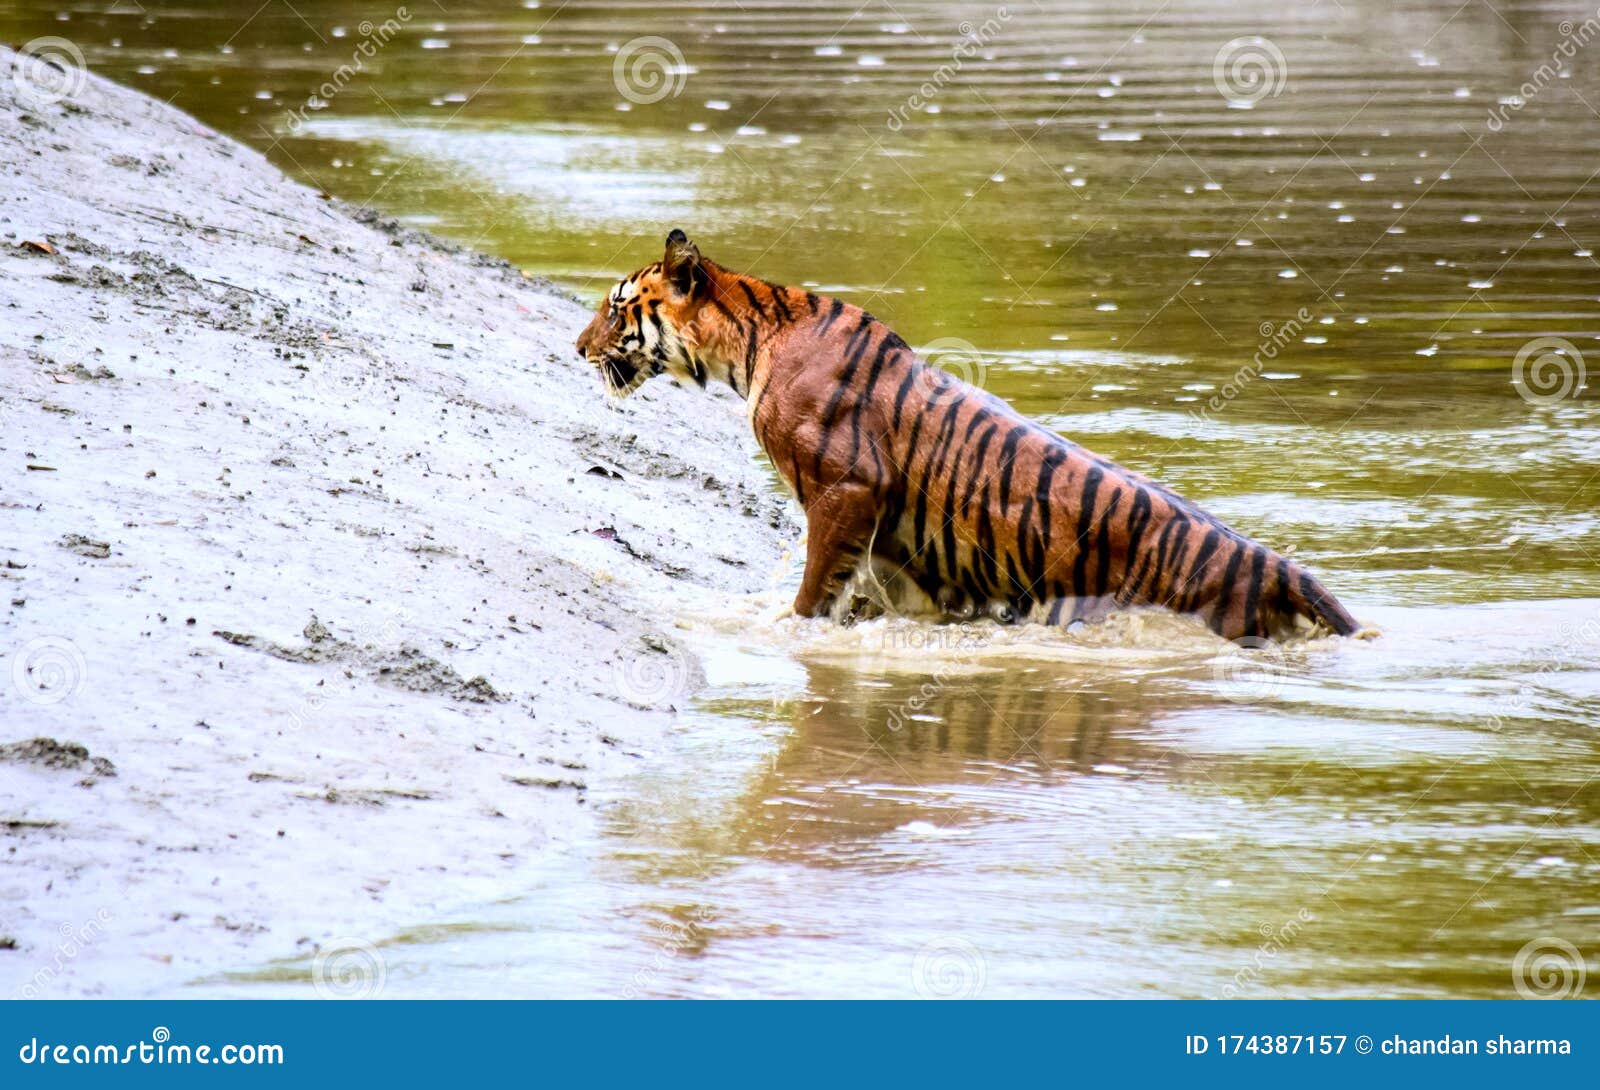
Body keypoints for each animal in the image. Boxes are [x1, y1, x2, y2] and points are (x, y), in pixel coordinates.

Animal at [575, 230, 1359, 641]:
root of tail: (1279, 565)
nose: (577, 347)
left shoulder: (847, 491)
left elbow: (814, 591)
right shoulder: (897, 543)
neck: (750, 343)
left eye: (616, 308)